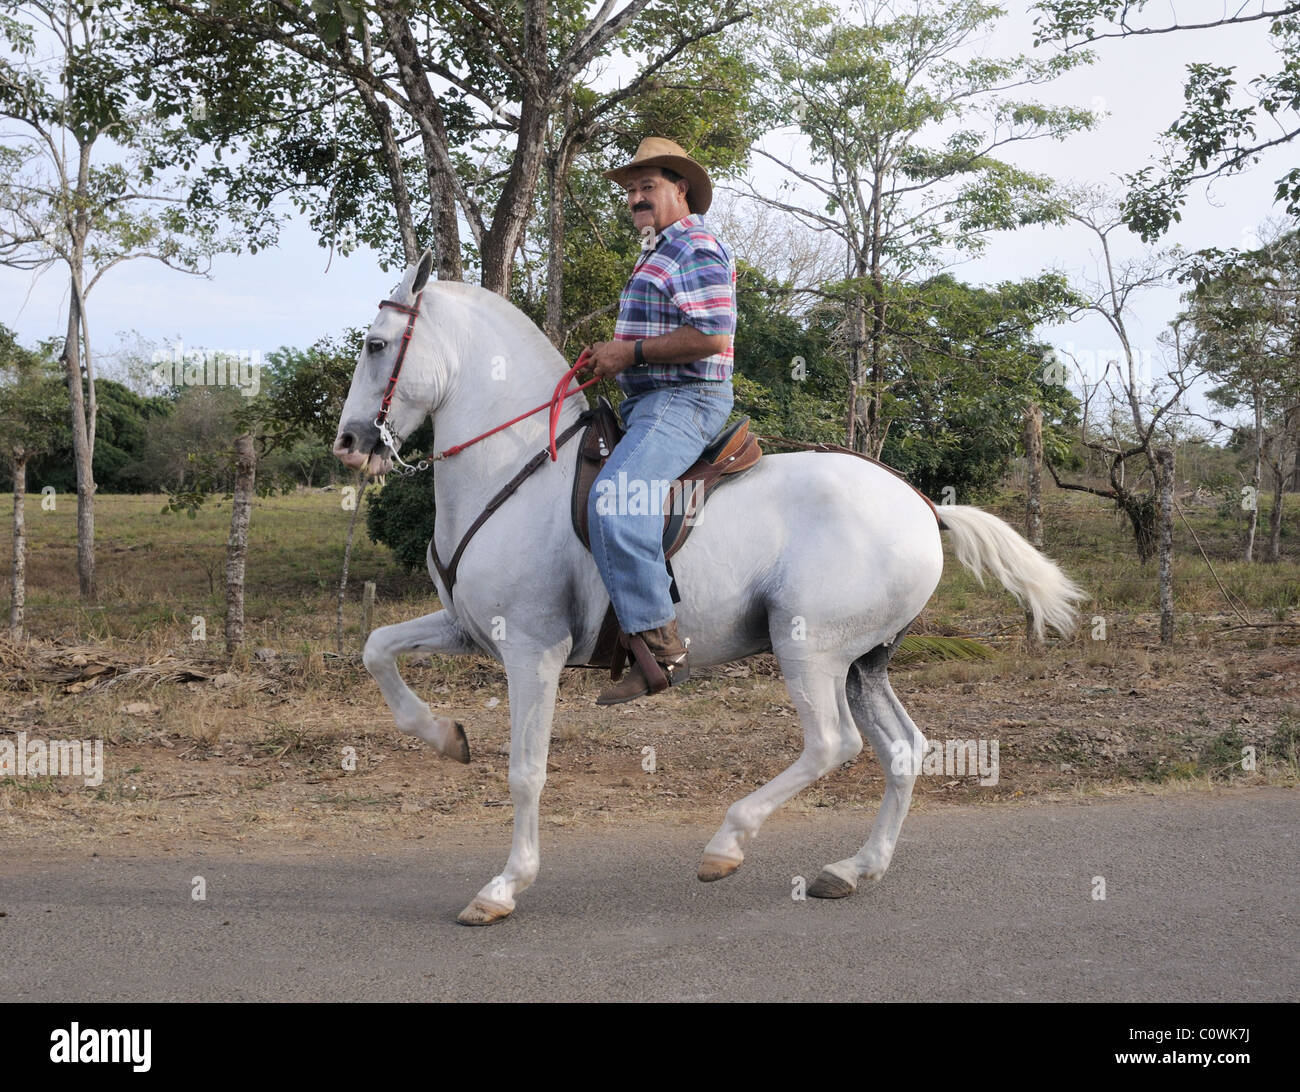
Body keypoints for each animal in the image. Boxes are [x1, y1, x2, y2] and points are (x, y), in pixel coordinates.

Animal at [332, 250, 1086, 926]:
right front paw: (443, 736)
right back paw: (852, 870)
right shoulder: (469, 629)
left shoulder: (532, 650)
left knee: (831, 744)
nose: (348, 443)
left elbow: (526, 771)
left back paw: (727, 843)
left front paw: (503, 886)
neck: (518, 468)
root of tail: (924, 505)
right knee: (901, 751)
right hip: (860, 663)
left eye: (375, 345)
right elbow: (377, 648)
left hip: (808, 646)